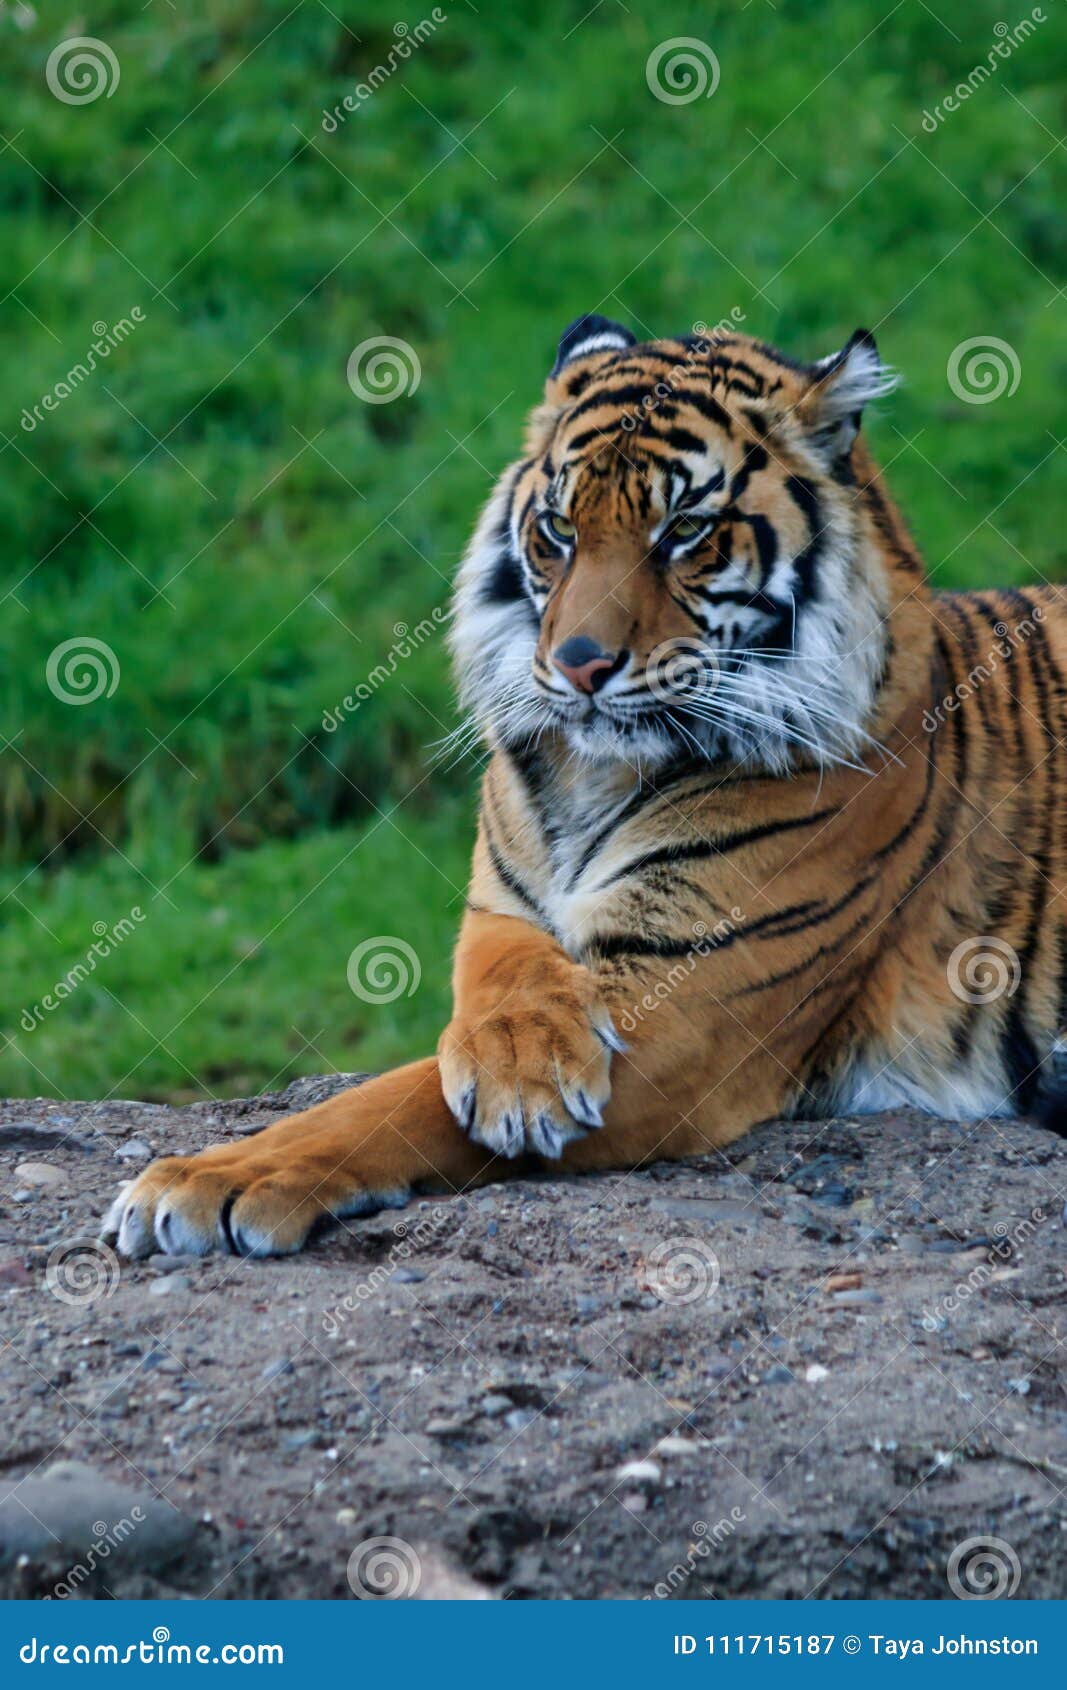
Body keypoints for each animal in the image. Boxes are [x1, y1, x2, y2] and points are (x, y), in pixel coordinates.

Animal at [103, 313, 1067, 1260]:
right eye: (559, 530)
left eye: (684, 531)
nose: (578, 665)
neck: (592, 777)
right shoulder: (501, 909)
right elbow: (498, 989)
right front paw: (519, 1061)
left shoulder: (687, 1009)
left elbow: (392, 1099)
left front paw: (201, 1182)